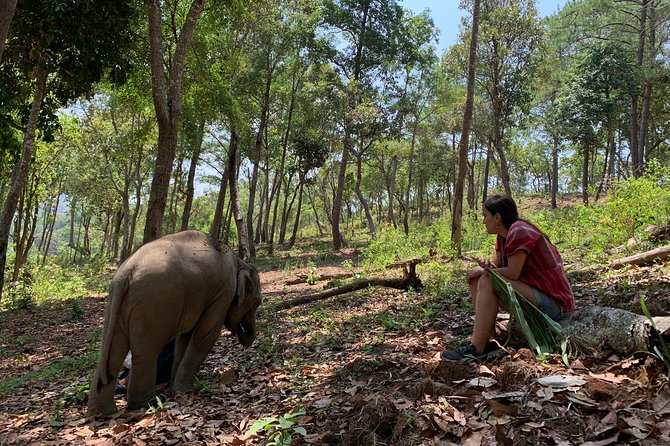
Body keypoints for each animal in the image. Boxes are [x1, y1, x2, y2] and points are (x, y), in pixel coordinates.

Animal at [87, 230, 262, 417]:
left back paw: (103, 413)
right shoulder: (224, 291)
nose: (239, 330)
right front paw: (187, 390)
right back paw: (148, 403)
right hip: (153, 304)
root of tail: (125, 273)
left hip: (118, 305)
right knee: (146, 352)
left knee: (113, 353)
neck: (238, 261)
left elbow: (184, 339)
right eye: (258, 302)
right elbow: (207, 334)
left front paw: (174, 388)